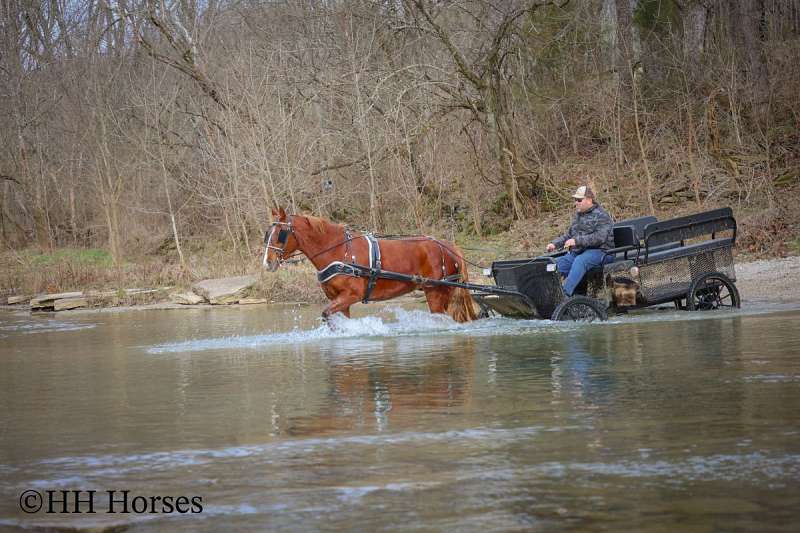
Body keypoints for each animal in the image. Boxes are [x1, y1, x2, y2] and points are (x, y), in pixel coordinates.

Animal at [263, 207, 478, 323]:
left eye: (281, 234)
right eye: (267, 234)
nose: (267, 262)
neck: (339, 251)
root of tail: (449, 246)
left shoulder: (351, 295)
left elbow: (325, 313)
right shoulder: (339, 299)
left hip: (436, 292)